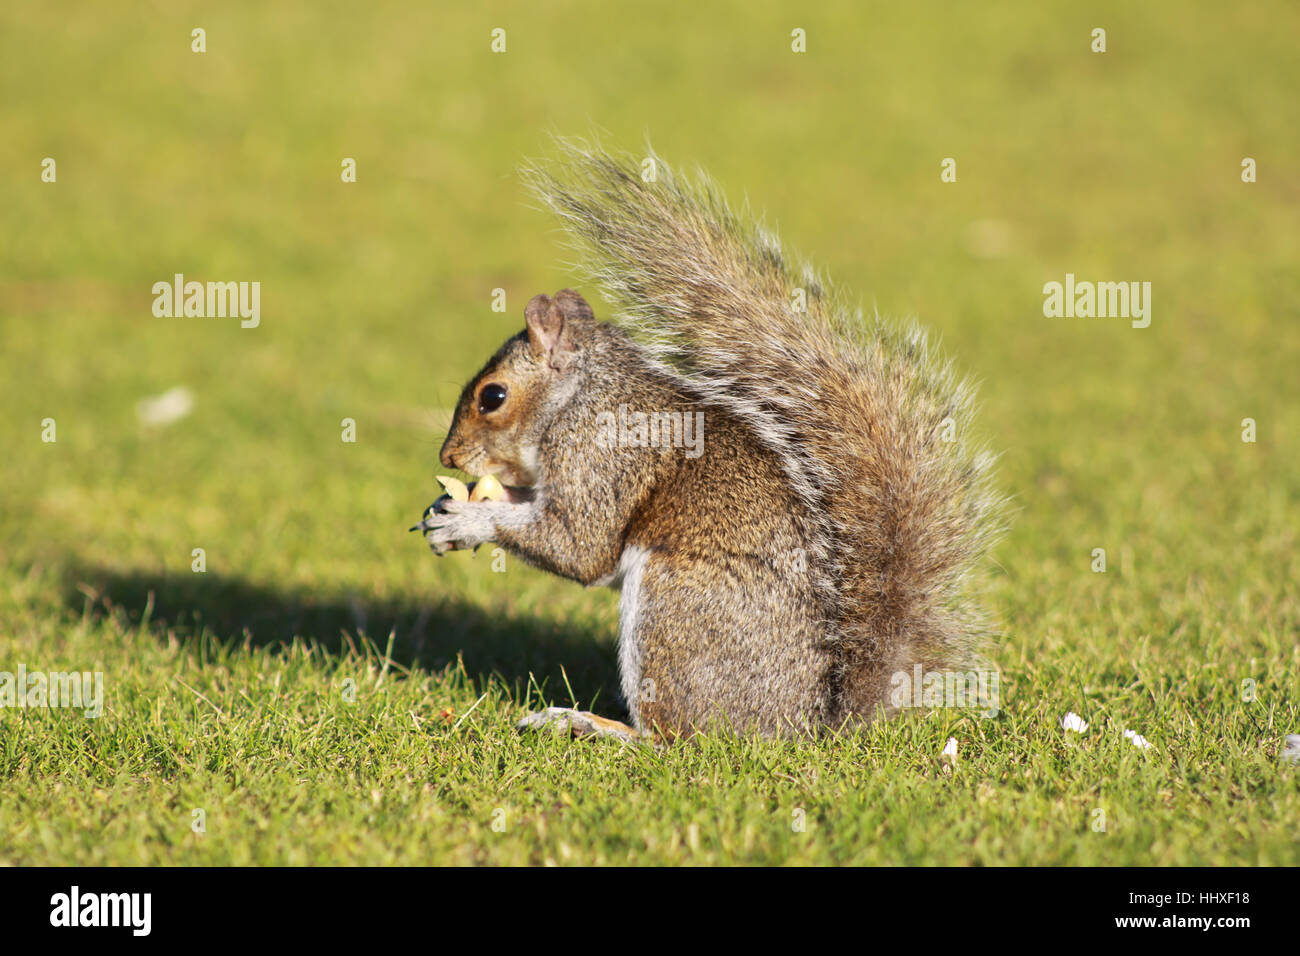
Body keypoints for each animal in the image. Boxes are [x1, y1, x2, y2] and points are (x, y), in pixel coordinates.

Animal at [415, 140, 1005, 742]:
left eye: (492, 397)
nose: (447, 456)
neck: (578, 393)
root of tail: (808, 723)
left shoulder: (599, 454)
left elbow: (579, 547)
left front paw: (469, 520)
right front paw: (446, 507)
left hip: (674, 604)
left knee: (671, 738)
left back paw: (590, 724)